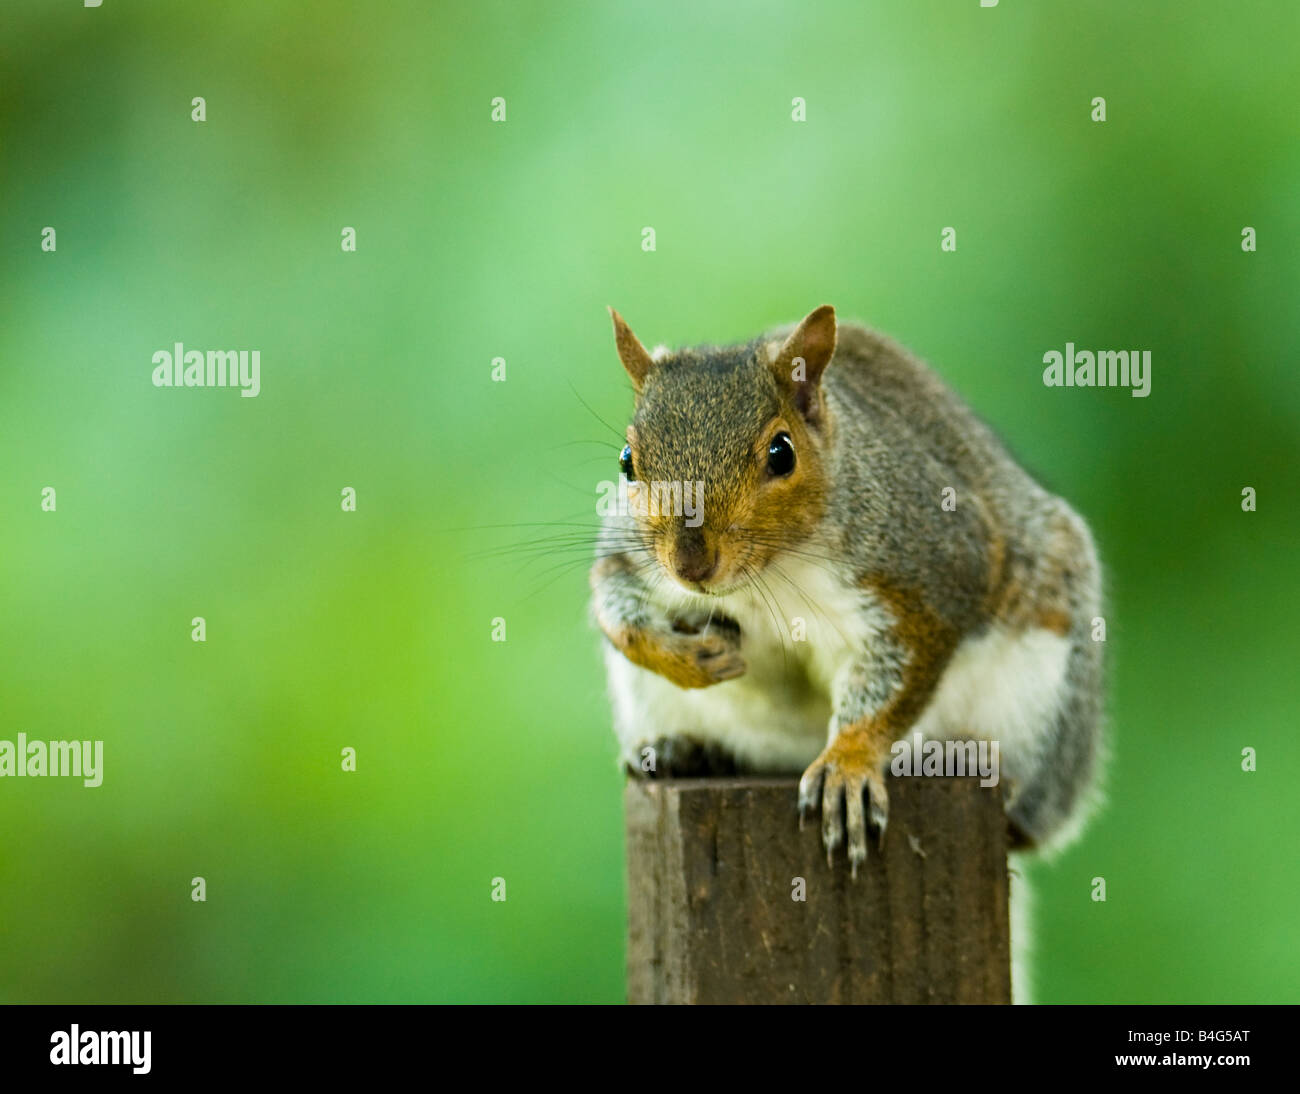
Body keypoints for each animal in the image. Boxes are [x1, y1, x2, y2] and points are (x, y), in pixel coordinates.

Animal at [590, 304, 1104, 875]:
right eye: (627, 462)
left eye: (782, 453)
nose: (691, 565)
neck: (769, 573)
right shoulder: (629, 553)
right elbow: (614, 604)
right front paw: (686, 658)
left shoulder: (930, 571)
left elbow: (899, 678)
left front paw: (848, 764)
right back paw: (681, 750)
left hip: (1044, 696)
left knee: (1025, 823)